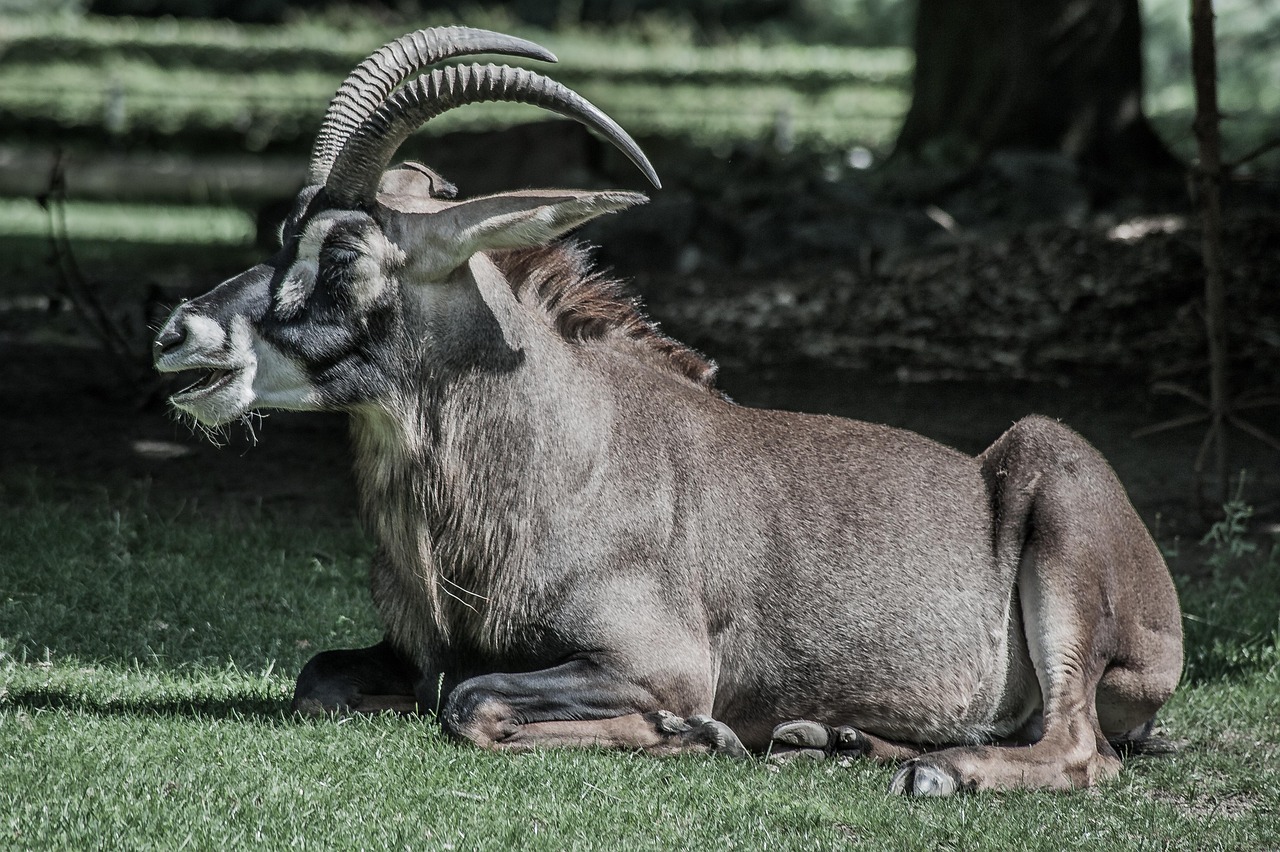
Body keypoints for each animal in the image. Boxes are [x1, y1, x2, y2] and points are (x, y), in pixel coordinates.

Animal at [152, 27, 1183, 795]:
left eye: (343, 254)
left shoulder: (657, 662)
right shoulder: (409, 652)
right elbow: (322, 679)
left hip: (1058, 508)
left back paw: (941, 770)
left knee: (1081, 749)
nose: (181, 331)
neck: (562, 456)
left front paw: (697, 734)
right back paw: (837, 739)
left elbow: (471, 701)